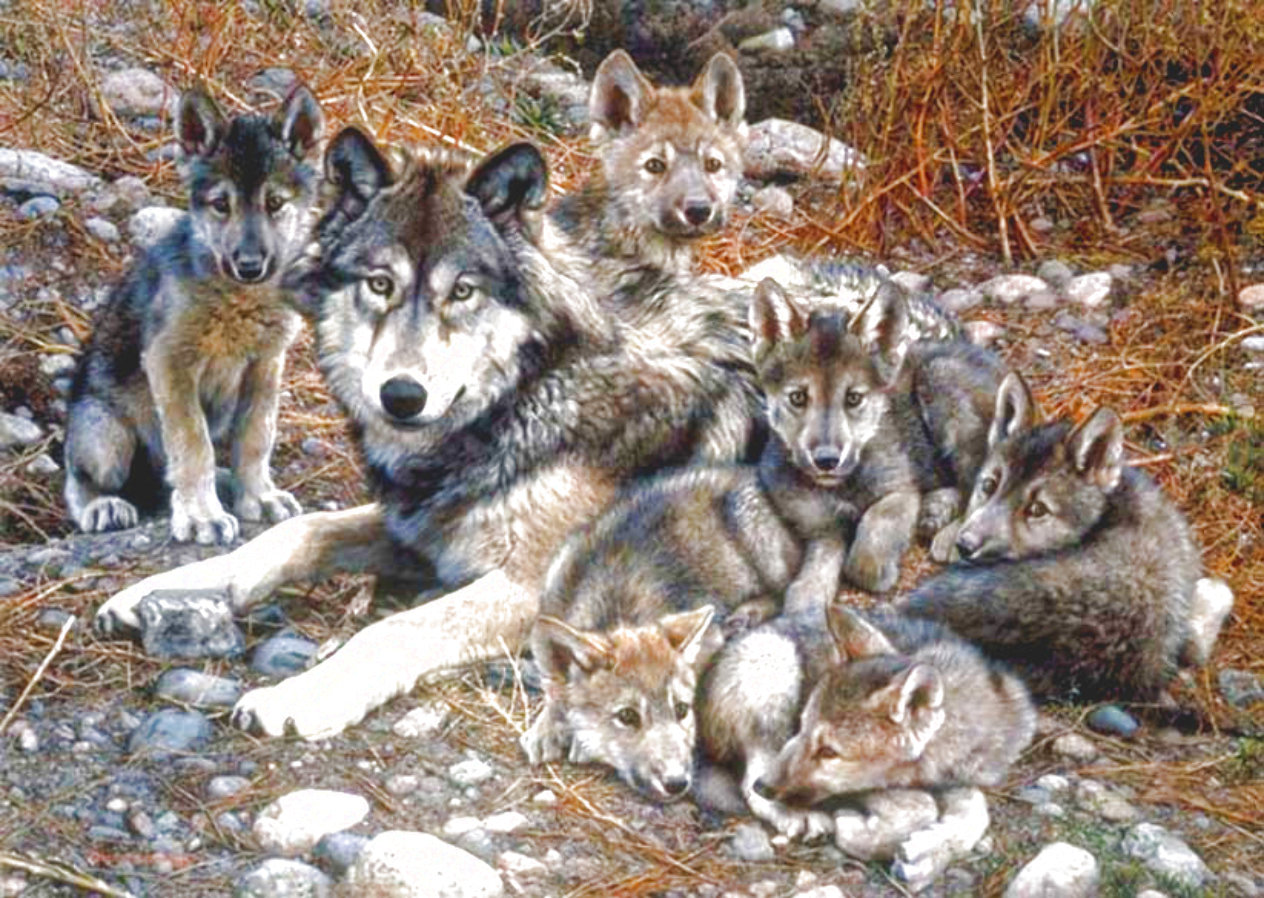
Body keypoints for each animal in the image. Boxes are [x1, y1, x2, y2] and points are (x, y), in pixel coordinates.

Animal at [64, 83, 323, 544]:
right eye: (221, 204)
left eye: (275, 202)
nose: (250, 265)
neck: (239, 300)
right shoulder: (170, 363)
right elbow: (192, 444)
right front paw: (201, 515)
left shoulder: (265, 364)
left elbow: (256, 438)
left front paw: (258, 496)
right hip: (106, 438)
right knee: (80, 480)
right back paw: (104, 505)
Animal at [94, 130, 760, 740]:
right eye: (379, 284)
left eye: (462, 291)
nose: (401, 396)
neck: (534, 392)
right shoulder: (421, 526)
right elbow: (292, 534)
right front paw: (160, 591)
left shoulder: (534, 589)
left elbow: (392, 628)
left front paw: (302, 695)